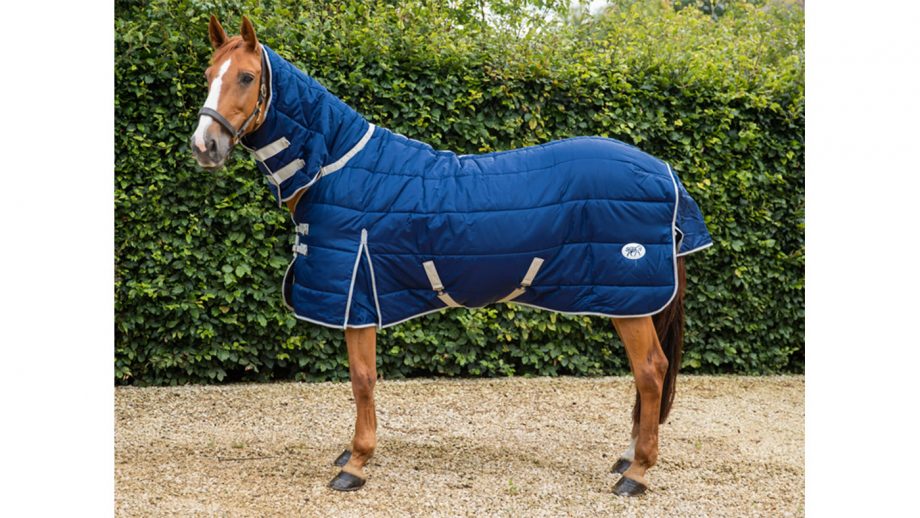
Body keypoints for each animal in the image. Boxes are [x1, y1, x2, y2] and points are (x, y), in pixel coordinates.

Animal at [190, 16, 712, 497]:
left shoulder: (358, 296)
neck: (336, 167)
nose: (204, 146)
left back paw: (637, 472)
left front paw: (355, 462)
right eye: (208, 73)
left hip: (631, 300)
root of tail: (666, 173)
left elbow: (362, 379)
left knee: (651, 371)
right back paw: (627, 458)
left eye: (246, 77)